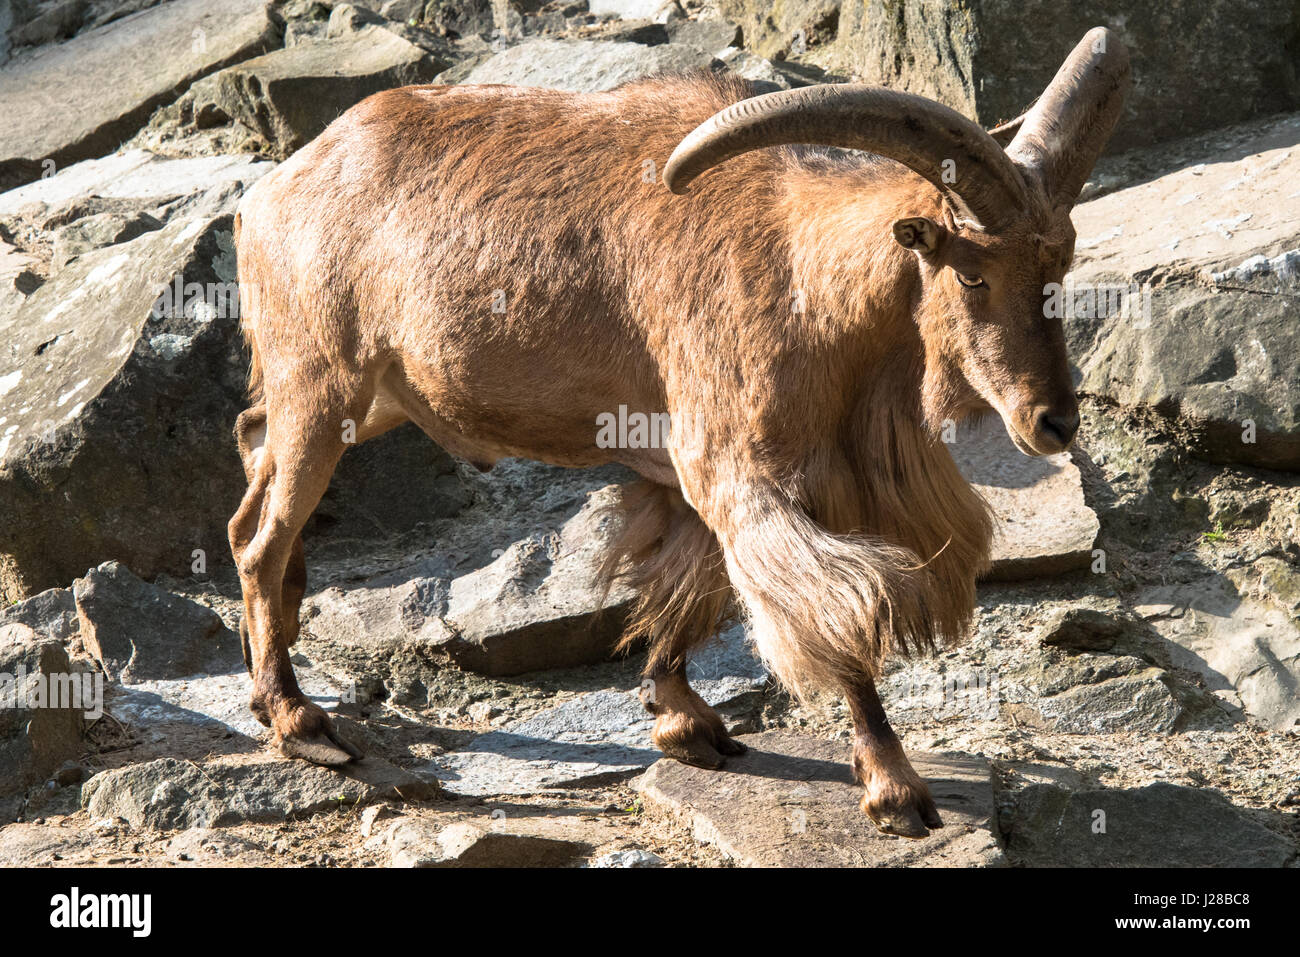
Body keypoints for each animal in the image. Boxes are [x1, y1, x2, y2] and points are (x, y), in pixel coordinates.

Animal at [229, 27, 1129, 837]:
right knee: (258, 536)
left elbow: (687, 587)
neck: (806, 279)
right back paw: (297, 719)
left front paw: (682, 720)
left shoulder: (702, 475)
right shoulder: (749, 480)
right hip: (321, 385)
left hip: (371, 398)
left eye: (1059, 266)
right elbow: (836, 617)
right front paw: (895, 791)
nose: (1053, 421)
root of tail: (268, 198)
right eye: (972, 275)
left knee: (249, 456)